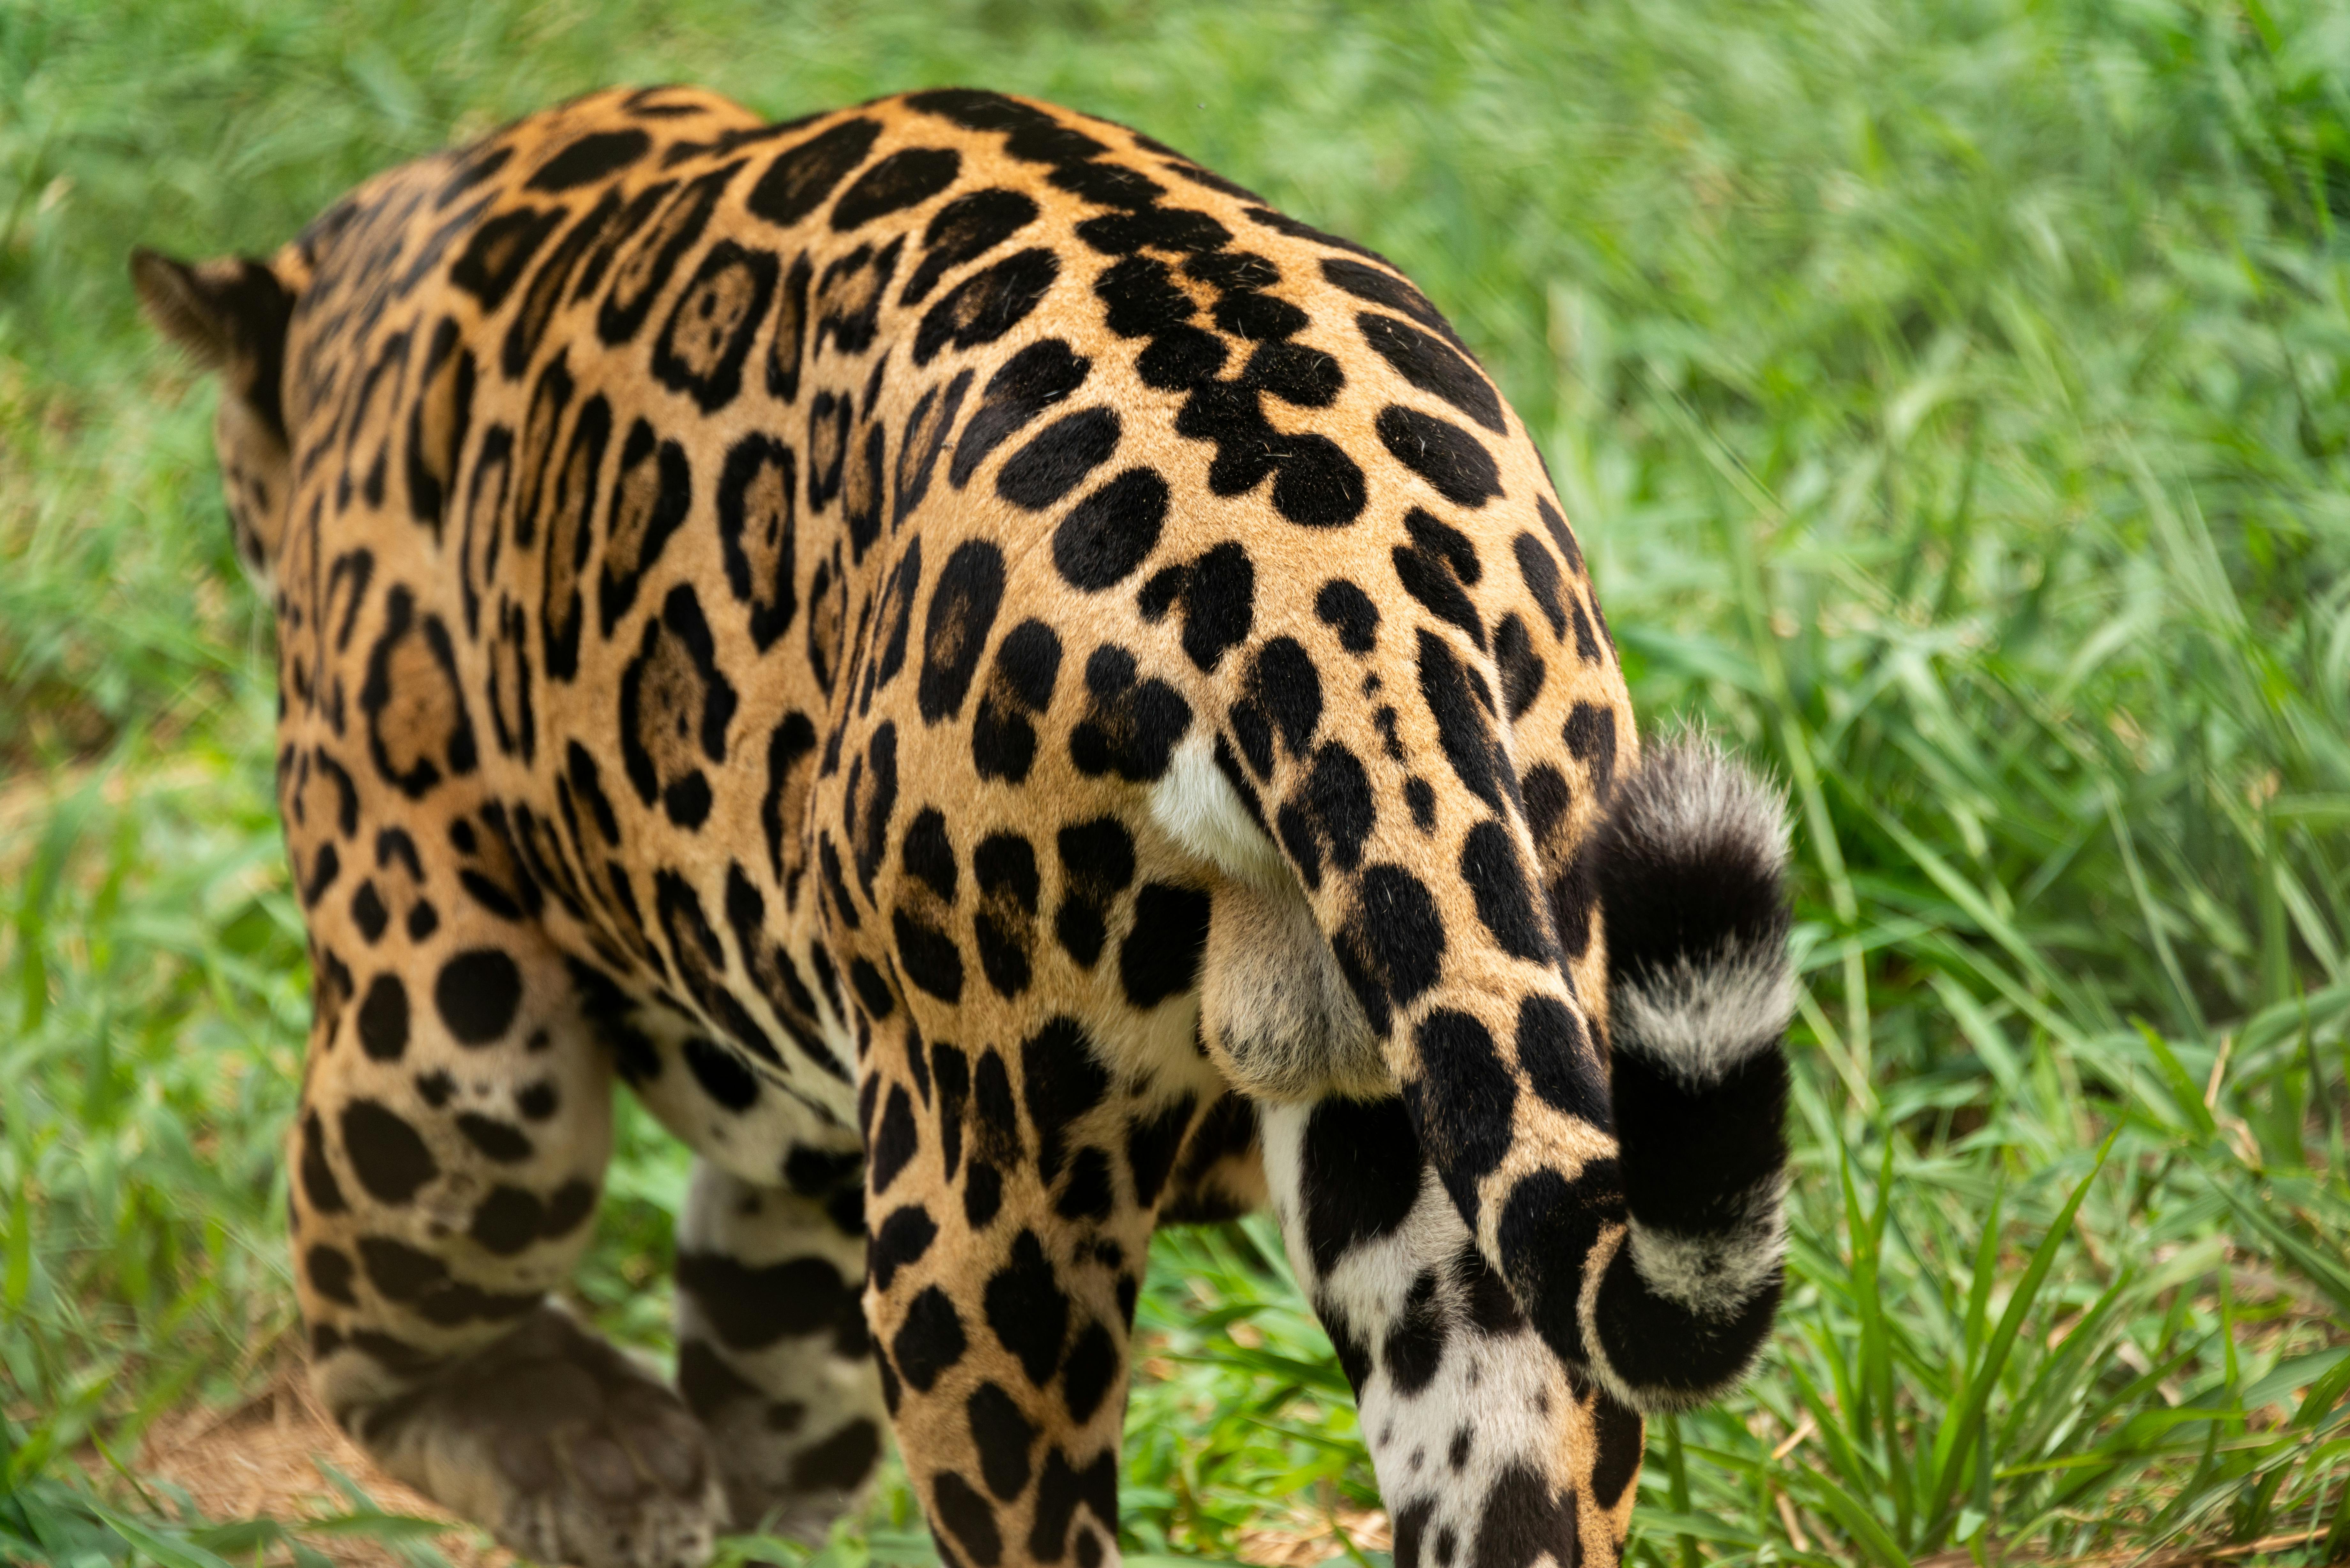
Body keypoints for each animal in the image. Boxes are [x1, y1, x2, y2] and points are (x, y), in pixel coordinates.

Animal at [134, 83, 1798, 1568]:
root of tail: (1329, 583)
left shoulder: (421, 931)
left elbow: (397, 1306)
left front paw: (608, 1462)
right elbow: (764, 1334)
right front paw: (736, 1484)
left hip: (949, 1160)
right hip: (1456, 1093)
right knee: (1524, 1458)